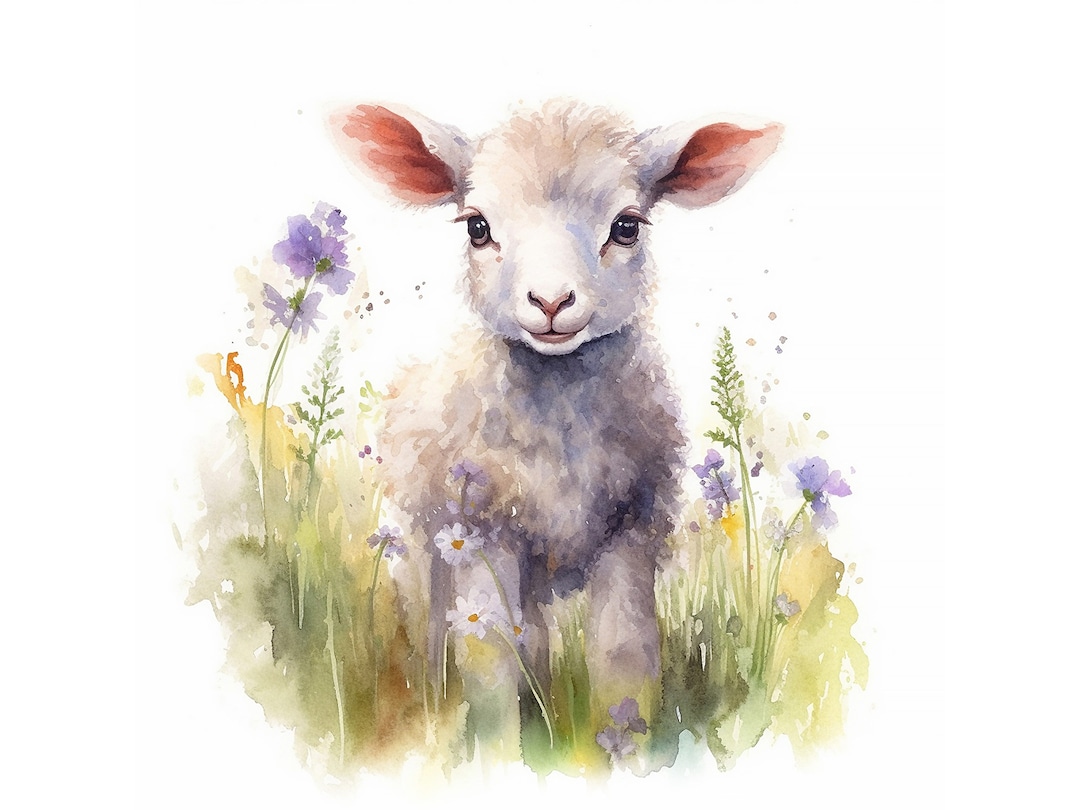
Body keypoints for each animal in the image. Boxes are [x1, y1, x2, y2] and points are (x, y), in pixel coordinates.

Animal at [330, 100, 781, 738]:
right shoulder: (484, 528)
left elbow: (624, 653)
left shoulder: (630, 526)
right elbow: (490, 657)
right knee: (442, 630)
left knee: (536, 636)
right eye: (476, 227)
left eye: (627, 226)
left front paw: (623, 741)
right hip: (430, 547)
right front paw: (497, 747)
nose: (550, 302)